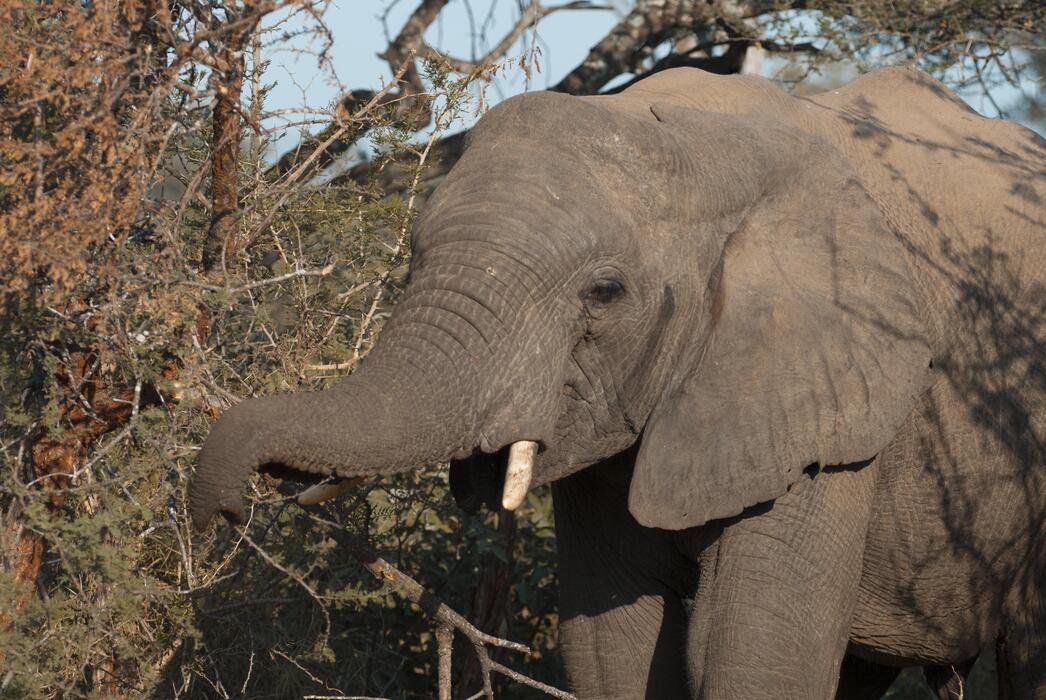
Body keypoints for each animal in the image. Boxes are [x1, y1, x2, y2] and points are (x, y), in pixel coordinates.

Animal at [189, 66, 1046, 699]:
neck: (693, 136)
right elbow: (612, 644)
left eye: (603, 293)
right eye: (413, 263)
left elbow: (751, 649)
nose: (224, 507)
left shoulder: (829, 403)